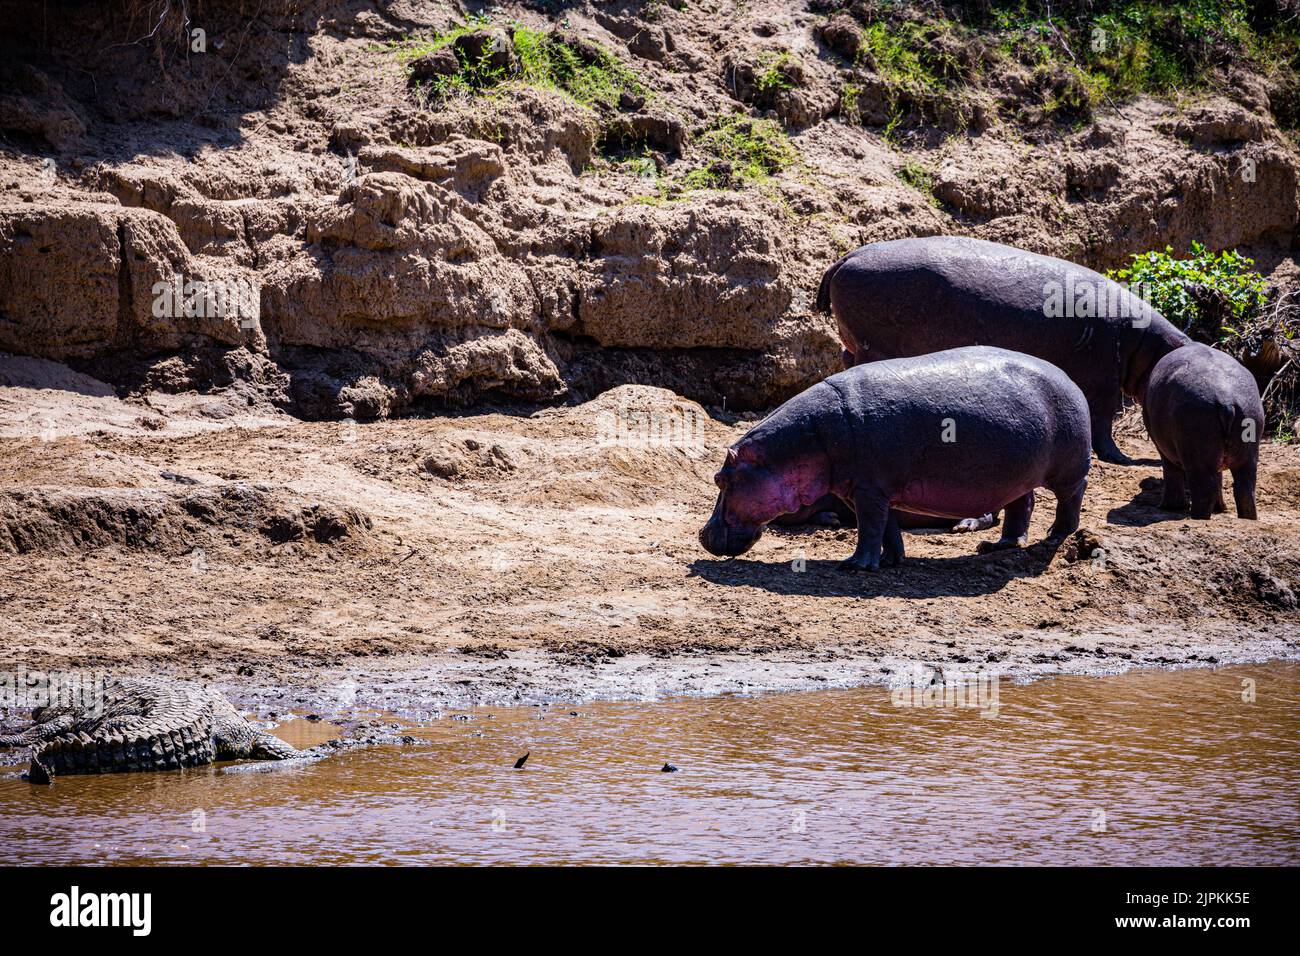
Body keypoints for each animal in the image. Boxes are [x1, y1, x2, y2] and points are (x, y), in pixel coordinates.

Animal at [699, 347, 1091, 570]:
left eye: (721, 479)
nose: (702, 534)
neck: (806, 441)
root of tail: (1069, 378)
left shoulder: (868, 489)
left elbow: (870, 527)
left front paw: (855, 566)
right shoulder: (867, 489)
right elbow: (885, 526)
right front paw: (891, 561)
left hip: (1068, 470)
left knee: (1070, 497)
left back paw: (1056, 535)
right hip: (1016, 477)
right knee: (1021, 504)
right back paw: (997, 546)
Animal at [817, 236, 1191, 465]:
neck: (1146, 344)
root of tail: (847, 257)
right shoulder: (1103, 379)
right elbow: (1103, 420)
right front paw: (1120, 458)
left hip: (858, 341)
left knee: (846, 359)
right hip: (874, 345)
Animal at [1142, 343, 1264, 519]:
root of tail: (1227, 400)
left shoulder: (1163, 449)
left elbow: (1171, 472)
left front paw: (1169, 508)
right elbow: (1218, 479)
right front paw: (1220, 508)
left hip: (1196, 450)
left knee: (1204, 490)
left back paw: (1196, 517)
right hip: (1248, 447)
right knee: (1244, 489)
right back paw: (1248, 518)